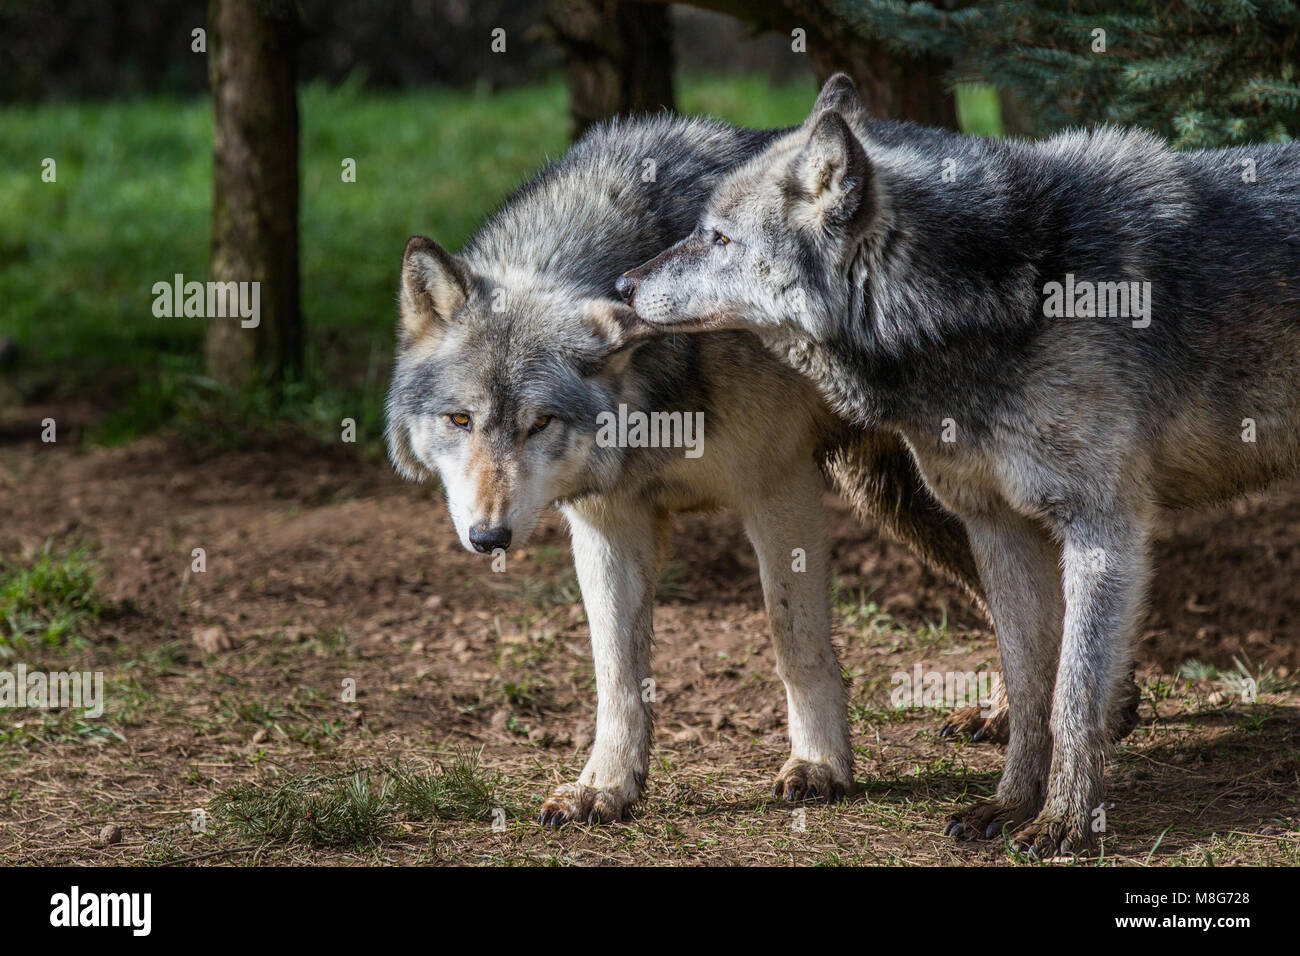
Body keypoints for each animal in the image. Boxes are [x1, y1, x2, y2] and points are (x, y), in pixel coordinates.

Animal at [383, 112, 1018, 825]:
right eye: (460, 420)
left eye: (539, 423)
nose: (488, 537)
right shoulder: (607, 521)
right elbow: (616, 670)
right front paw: (605, 785)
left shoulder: (779, 489)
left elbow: (793, 638)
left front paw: (819, 766)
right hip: (902, 503)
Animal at [619, 75, 1300, 854]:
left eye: (719, 237)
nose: (623, 285)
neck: (1009, 287)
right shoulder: (998, 527)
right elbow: (1031, 688)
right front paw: (1007, 805)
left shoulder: (1103, 532)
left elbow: (1072, 694)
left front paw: (1064, 822)